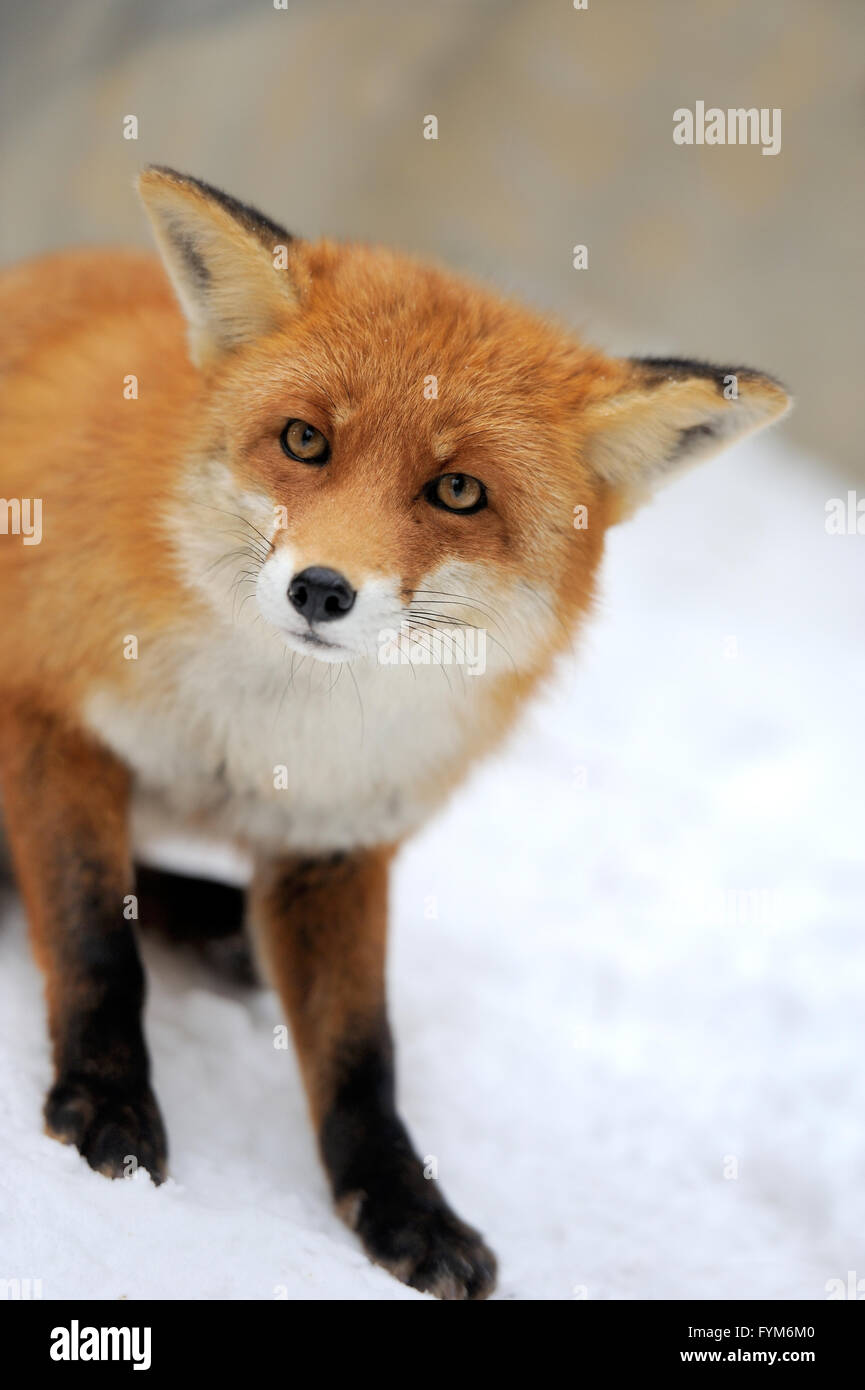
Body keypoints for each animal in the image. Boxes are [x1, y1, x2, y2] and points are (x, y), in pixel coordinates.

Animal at [0, 167, 790, 1300]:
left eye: (457, 490)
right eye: (304, 440)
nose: (320, 589)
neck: (259, 734)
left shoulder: (339, 838)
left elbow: (362, 1057)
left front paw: (404, 1208)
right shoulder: (54, 721)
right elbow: (95, 945)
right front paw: (106, 1107)